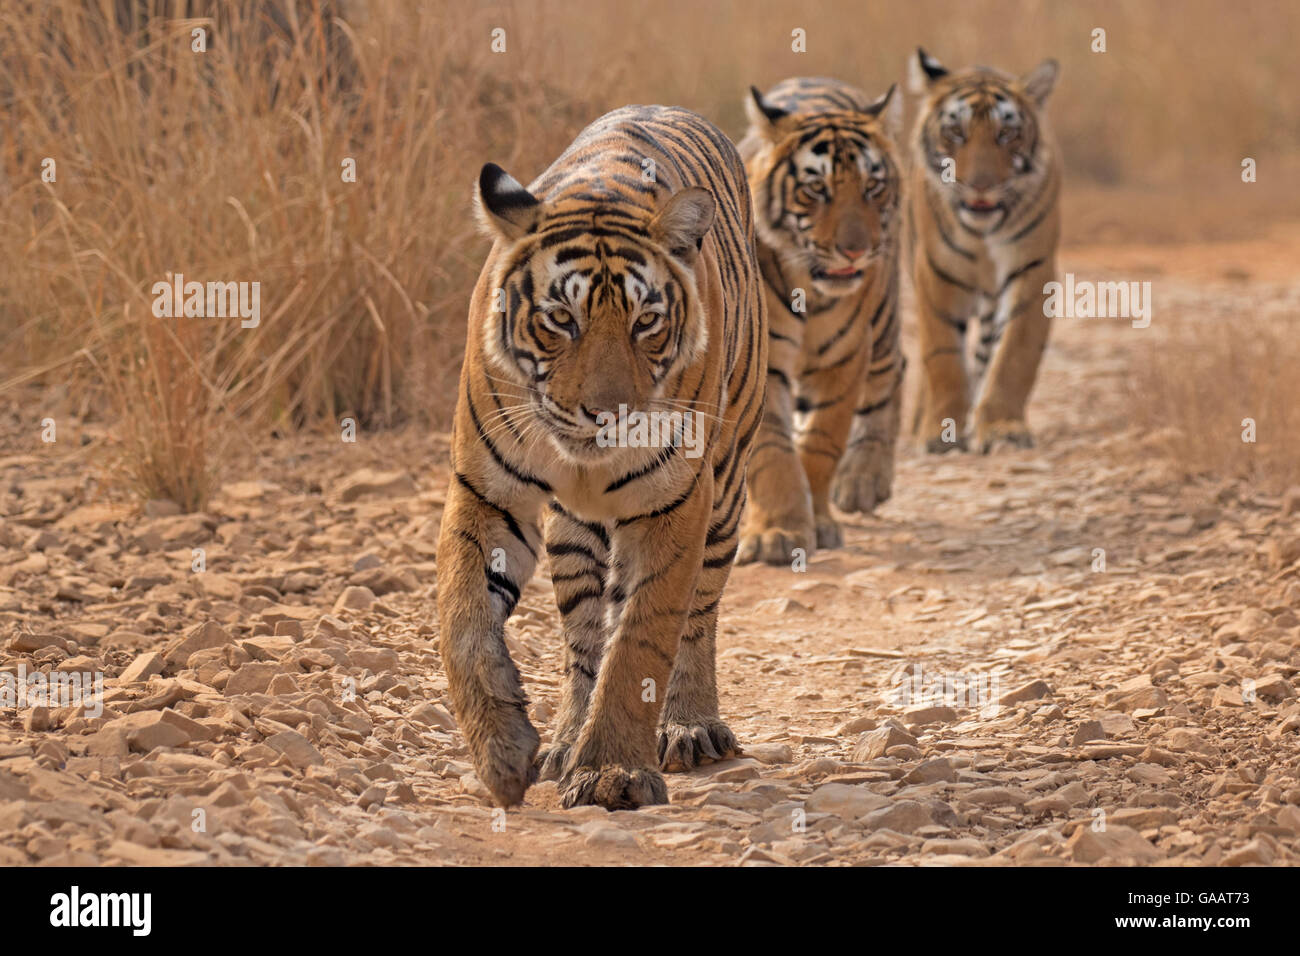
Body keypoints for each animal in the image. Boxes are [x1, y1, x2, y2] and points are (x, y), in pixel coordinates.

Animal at [435, 106, 767, 810]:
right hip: (571, 533)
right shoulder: (487, 492)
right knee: (585, 635)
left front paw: (614, 772)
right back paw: (564, 741)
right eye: (561, 318)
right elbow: (463, 619)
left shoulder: (676, 501)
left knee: (698, 615)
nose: (606, 415)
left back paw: (688, 725)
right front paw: (503, 752)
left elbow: (642, 640)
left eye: (646, 321)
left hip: (726, 493)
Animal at [735, 77, 905, 565]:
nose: (856, 250)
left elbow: (822, 440)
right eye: (816, 190)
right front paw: (777, 532)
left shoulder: (845, 357)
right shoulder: (762, 362)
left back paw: (865, 479)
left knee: (893, 377)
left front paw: (818, 521)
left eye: (872, 187)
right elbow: (773, 450)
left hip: (883, 323)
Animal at [907, 48, 1061, 454]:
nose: (980, 186)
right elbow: (942, 356)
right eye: (955, 132)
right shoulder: (936, 273)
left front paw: (1004, 428)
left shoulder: (1033, 269)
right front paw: (940, 432)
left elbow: (1015, 354)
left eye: (1005, 133)